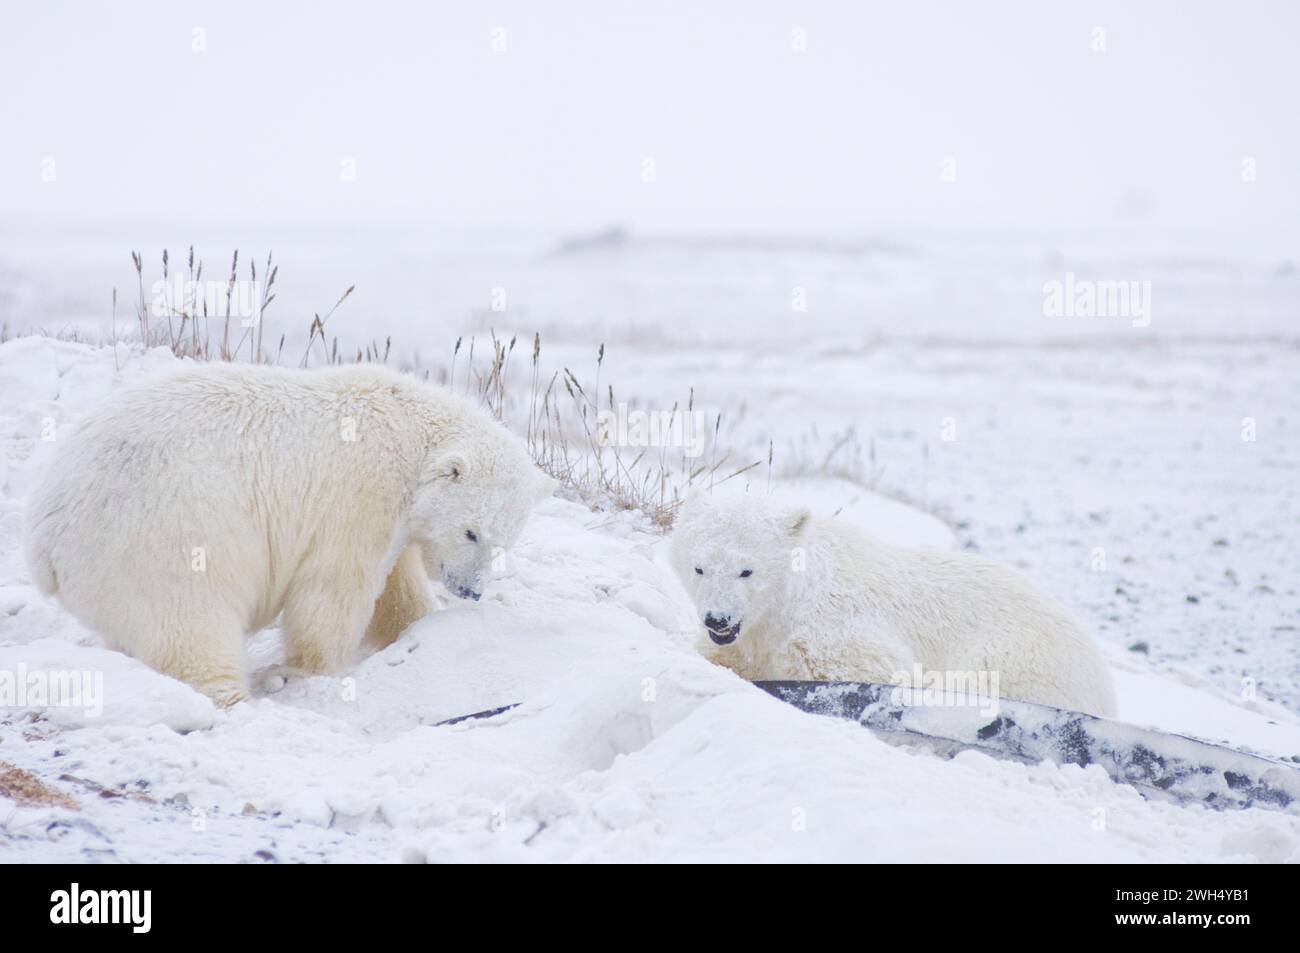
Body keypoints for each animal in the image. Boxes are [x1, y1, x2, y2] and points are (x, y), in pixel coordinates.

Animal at [25, 362, 556, 707]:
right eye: (471, 532)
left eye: (503, 541)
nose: (471, 591)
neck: (410, 435)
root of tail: (46, 535)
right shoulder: (361, 493)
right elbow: (334, 589)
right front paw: (302, 670)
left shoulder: (397, 517)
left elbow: (395, 588)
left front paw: (420, 629)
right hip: (164, 528)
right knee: (188, 618)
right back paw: (227, 696)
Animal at [669, 494, 1117, 717]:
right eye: (699, 567)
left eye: (747, 571)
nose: (718, 619)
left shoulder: (837, 631)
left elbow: (875, 671)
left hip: (1018, 657)